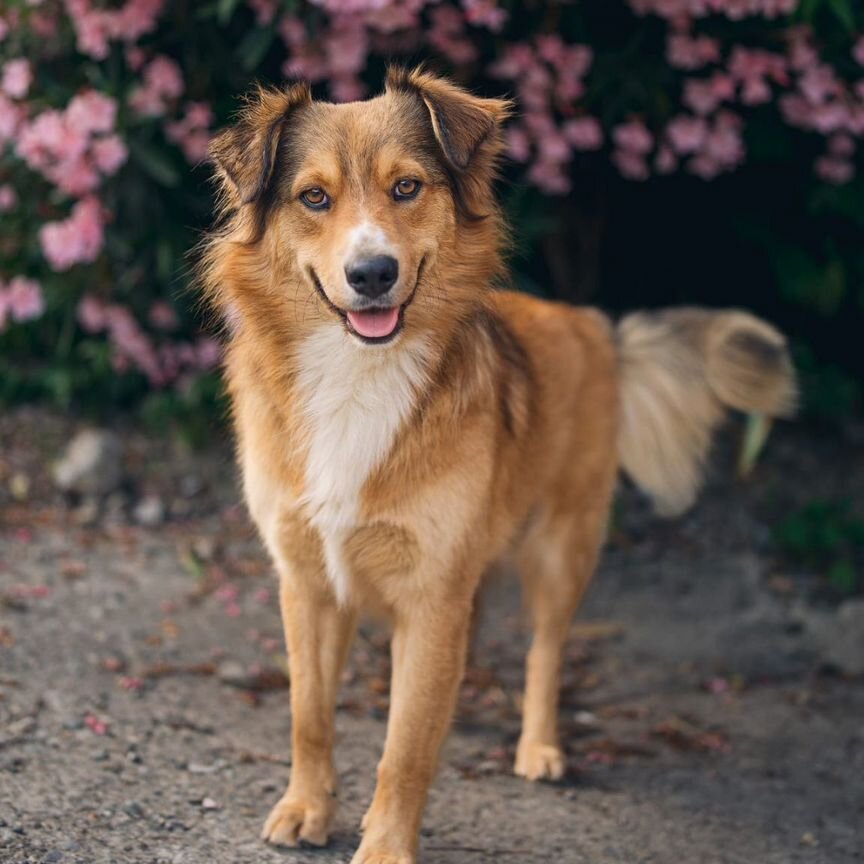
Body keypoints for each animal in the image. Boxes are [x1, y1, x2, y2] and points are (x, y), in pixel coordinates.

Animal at [201, 69, 796, 864]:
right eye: (314, 198)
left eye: (407, 187)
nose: (372, 273)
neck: (356, 372)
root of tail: (594, 323)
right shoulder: (307, 579)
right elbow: (310, 713)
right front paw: (307, 807)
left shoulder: (432, 591)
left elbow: (406, 747)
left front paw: (386, 844)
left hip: (561, 548)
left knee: (547, 651)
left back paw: (538, 747)